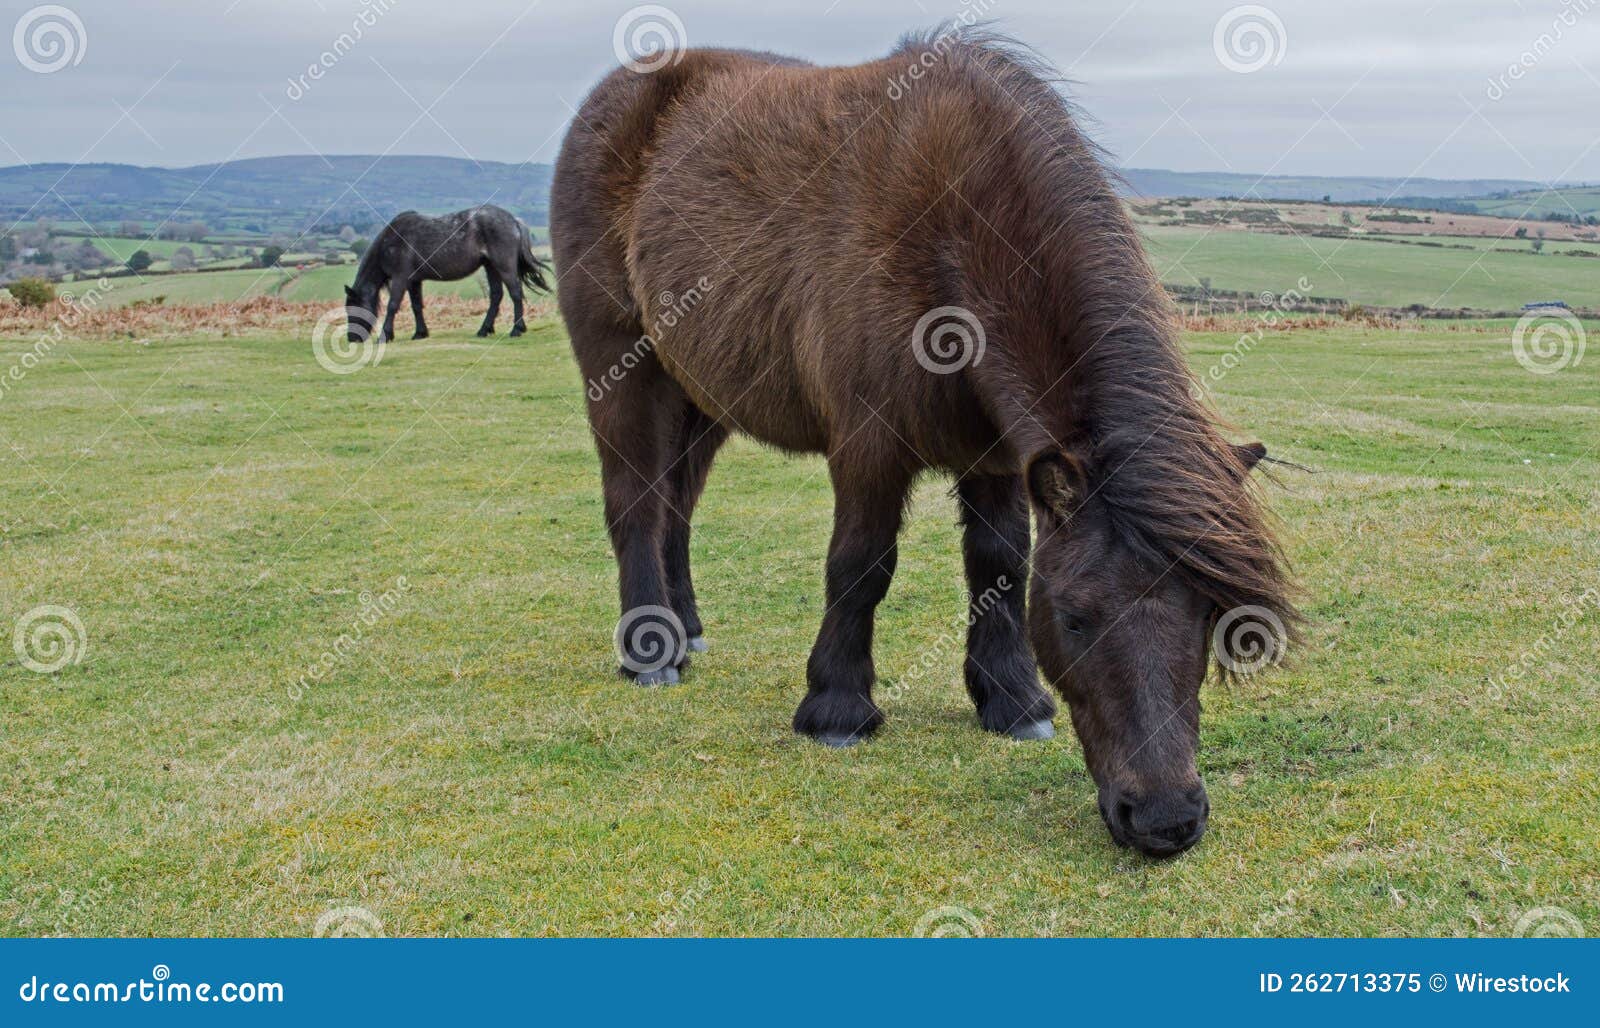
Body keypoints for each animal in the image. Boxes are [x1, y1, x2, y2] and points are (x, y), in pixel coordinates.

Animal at [345, 205, 550, 344]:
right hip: (490, 267)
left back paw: (516, 329)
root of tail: (514, 221)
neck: (391, 241)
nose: (352, 338)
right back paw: (484, 329)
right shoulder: (413, 281)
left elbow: (393, 306)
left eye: (352, 308)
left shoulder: (400, 279)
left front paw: (385, 335)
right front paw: (420, 333)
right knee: (496, 295)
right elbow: (416, 306)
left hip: (503, 266)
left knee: (515, 293)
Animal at [550, 29, 1301, 858]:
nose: (1167, 820)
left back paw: (683, 629)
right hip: (624, 370)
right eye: (1075, 618)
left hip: (700, 394)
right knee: (636, 506)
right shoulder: (868, 448)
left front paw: (1012, 701)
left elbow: (999, 563)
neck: (950, 231)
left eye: (1206, 615)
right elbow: (860, 567)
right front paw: (837, 707)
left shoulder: (998, 455)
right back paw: (650, 655)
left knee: (675, 508)